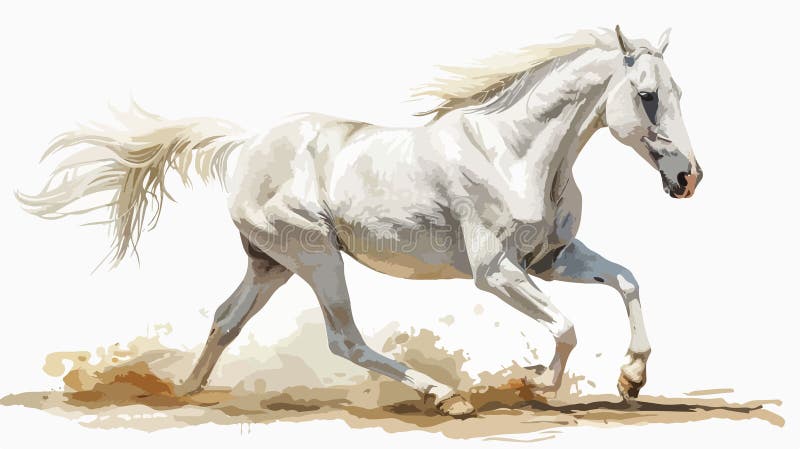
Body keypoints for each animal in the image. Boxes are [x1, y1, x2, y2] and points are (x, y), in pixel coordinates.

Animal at [17, 26, 702, 418]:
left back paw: (187, 391)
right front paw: (536, 382)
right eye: (647, 96)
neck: (515, 151)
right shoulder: (496, 272)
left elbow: (627, 281)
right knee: (343, 339)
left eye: (677, 93)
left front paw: (633, 379)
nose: (688, 178)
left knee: (227, 318)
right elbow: (564, 327)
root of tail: (246, 145)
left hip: (271, 265)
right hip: (317, 256)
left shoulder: (553, 259)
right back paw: (445, 397)